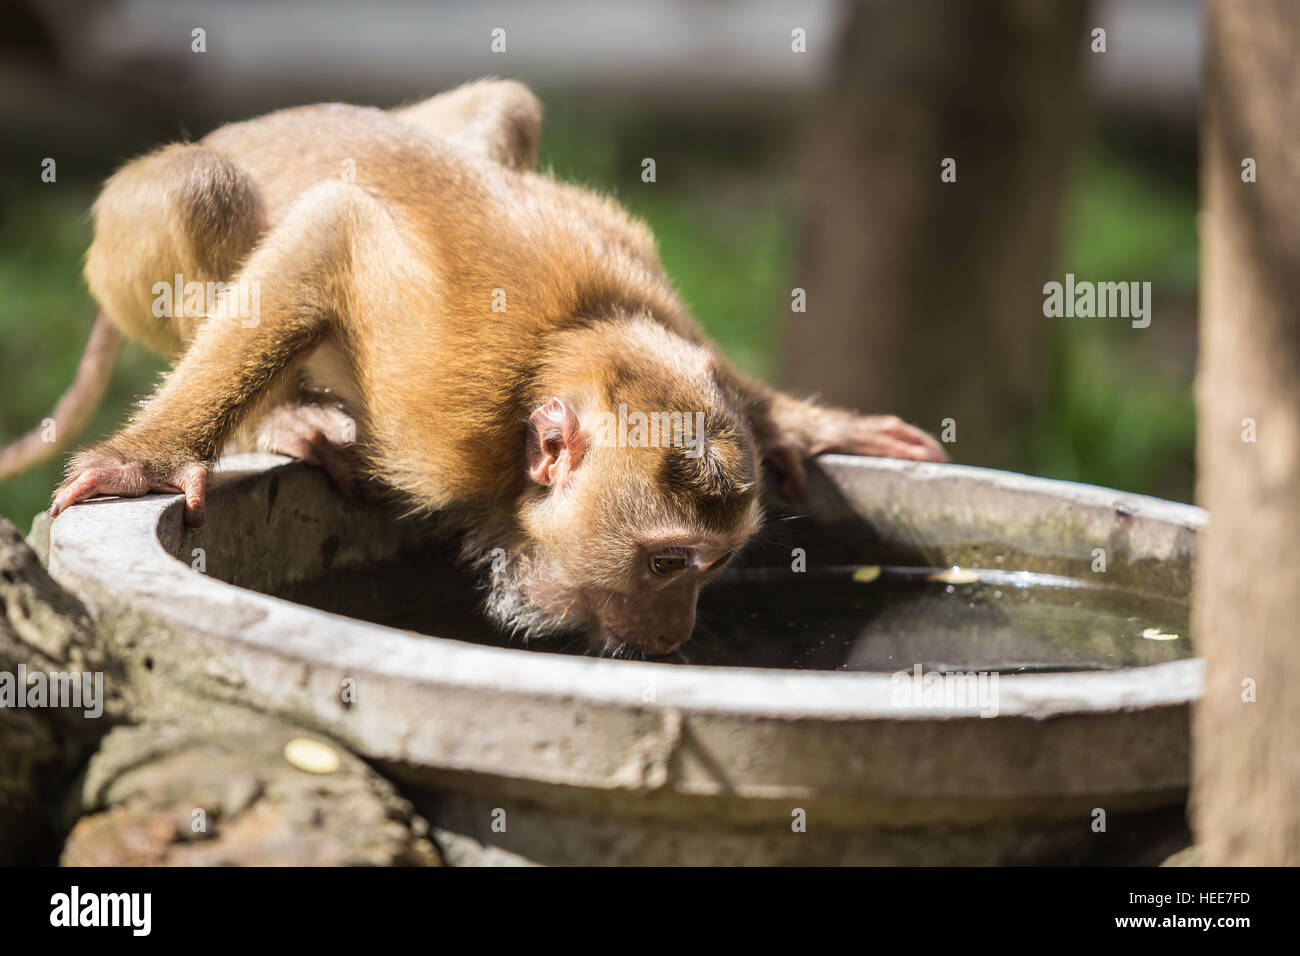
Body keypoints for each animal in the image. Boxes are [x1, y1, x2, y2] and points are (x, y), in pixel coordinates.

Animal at [1, 79, 947, 657]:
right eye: (667, 565)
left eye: (713, 567)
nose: (676, 635)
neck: (566, 347)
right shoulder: (440, 407)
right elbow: (332, 229)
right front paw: (148, 460)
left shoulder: (663, 314)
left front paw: (799, 423)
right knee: (206, 185)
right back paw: (281, 411)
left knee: (508, 107)